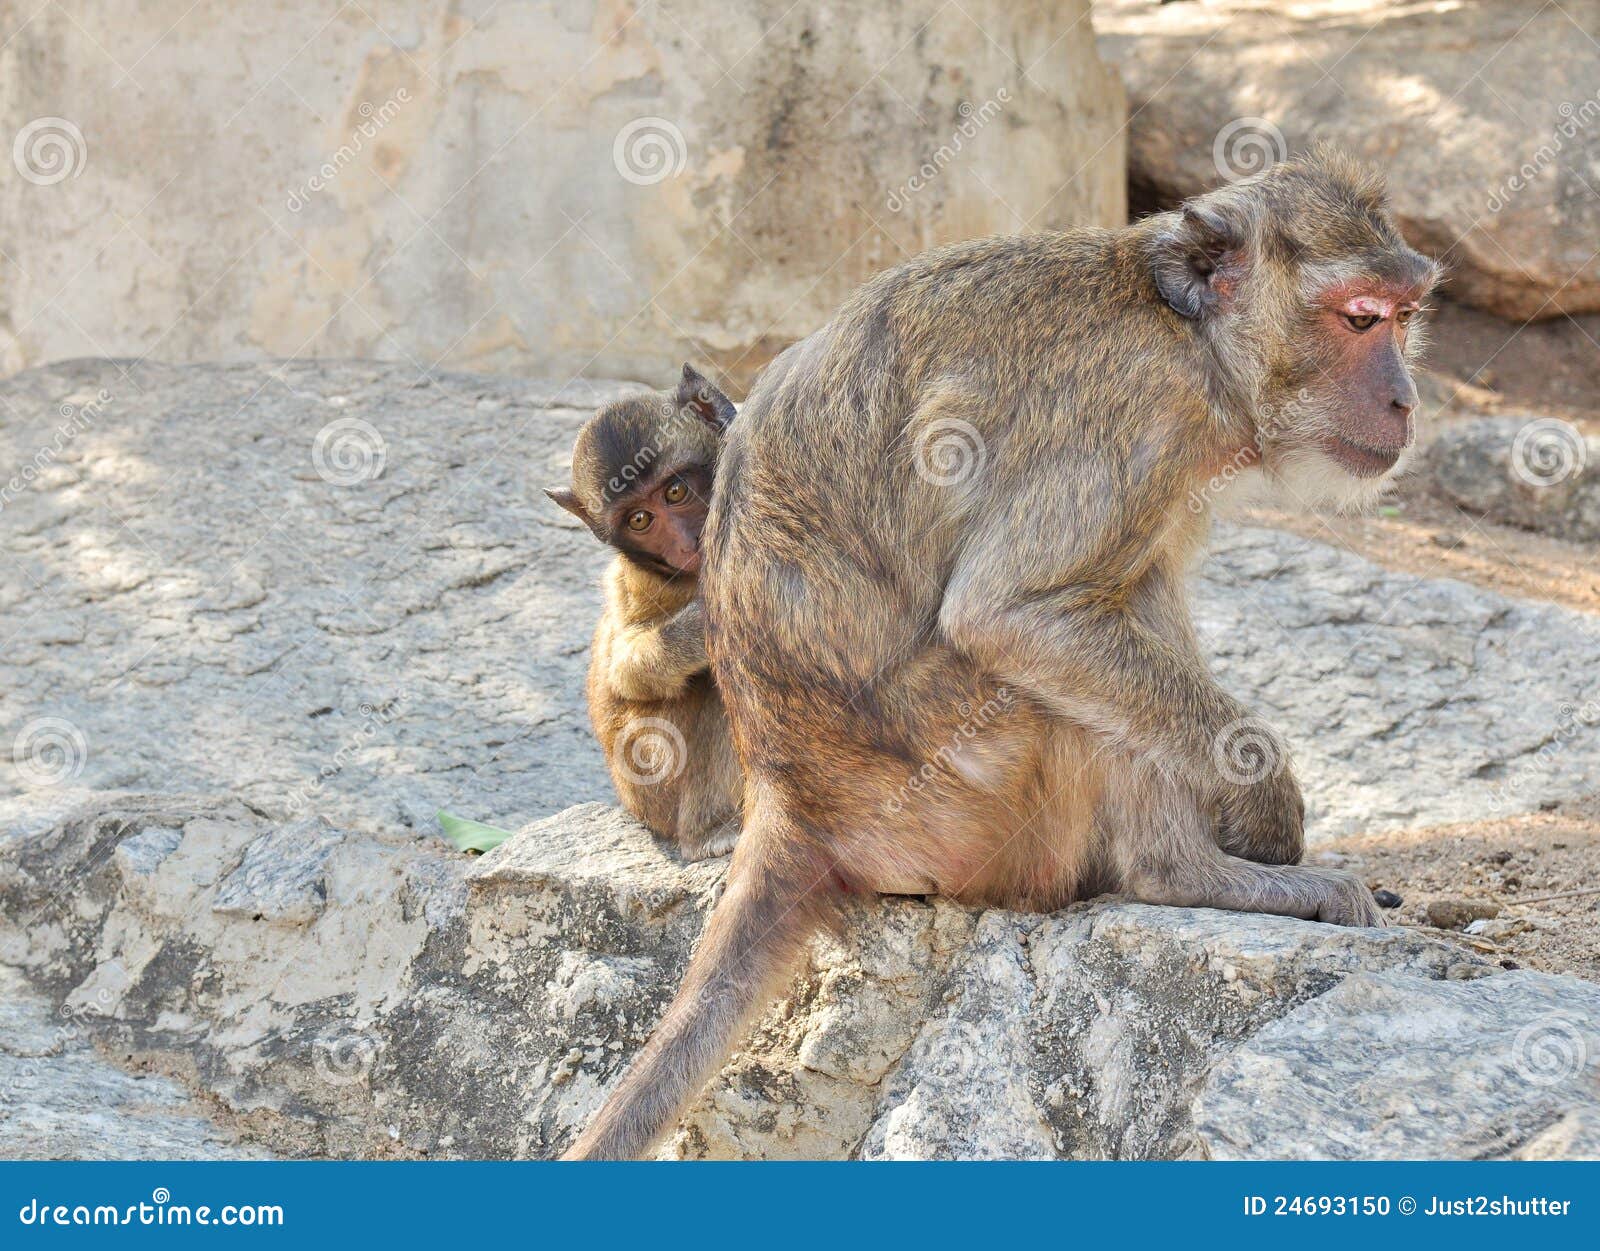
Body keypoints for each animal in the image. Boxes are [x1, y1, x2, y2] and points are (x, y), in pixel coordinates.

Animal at [545, 364, 744, 861]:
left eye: (675, 491)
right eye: (640, 520)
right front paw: (705, 621)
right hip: (654, 778)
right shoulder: (639, 583)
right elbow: (628, 671)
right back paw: (711, 831)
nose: (686, 543)